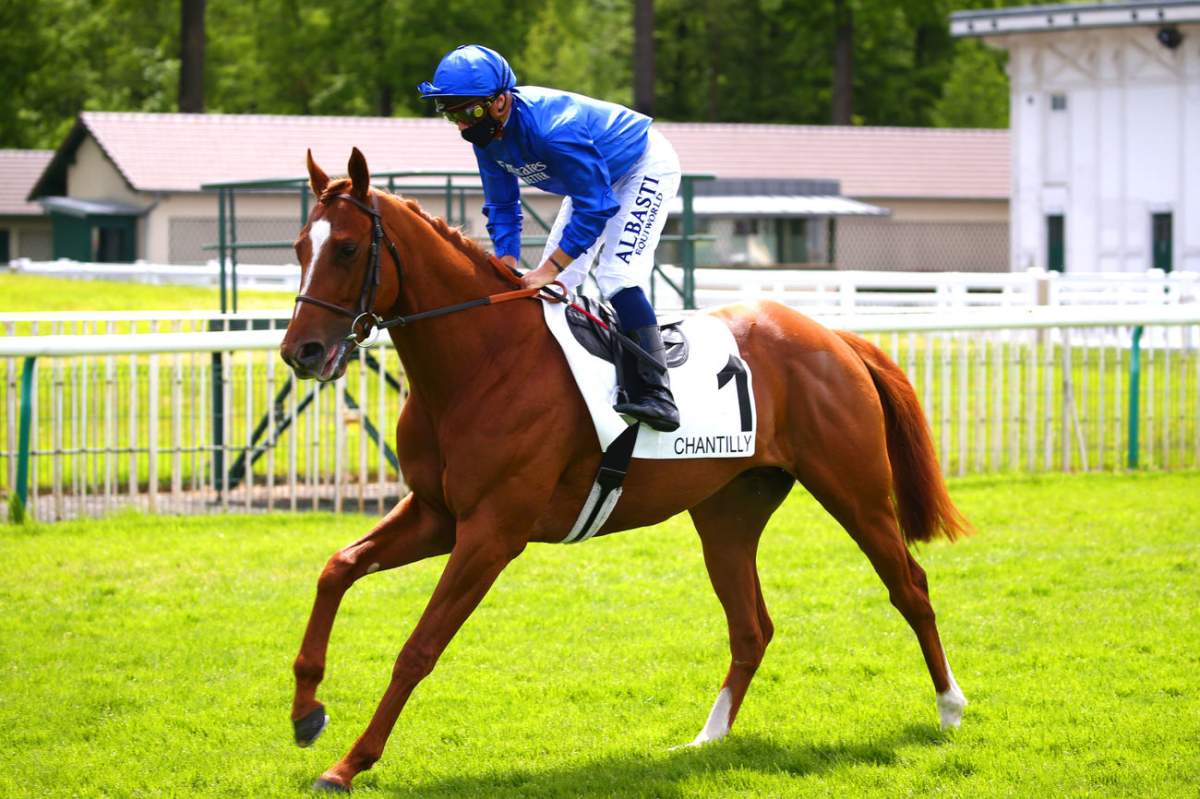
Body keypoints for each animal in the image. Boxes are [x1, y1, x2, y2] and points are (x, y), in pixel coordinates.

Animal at [280, 148, 973, 792]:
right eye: (299, 247)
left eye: (347, 248)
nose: (300, 352)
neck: (483, 361)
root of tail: (834, 338)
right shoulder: (437, 515)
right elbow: (336, 568)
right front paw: (307, 710)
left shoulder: (492, 532)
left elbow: (418, 648)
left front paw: (348, 764)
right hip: (727, 514)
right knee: (752, 627)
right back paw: (707, 737)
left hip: (855, 490)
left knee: (910, 586)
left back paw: (949, 707)